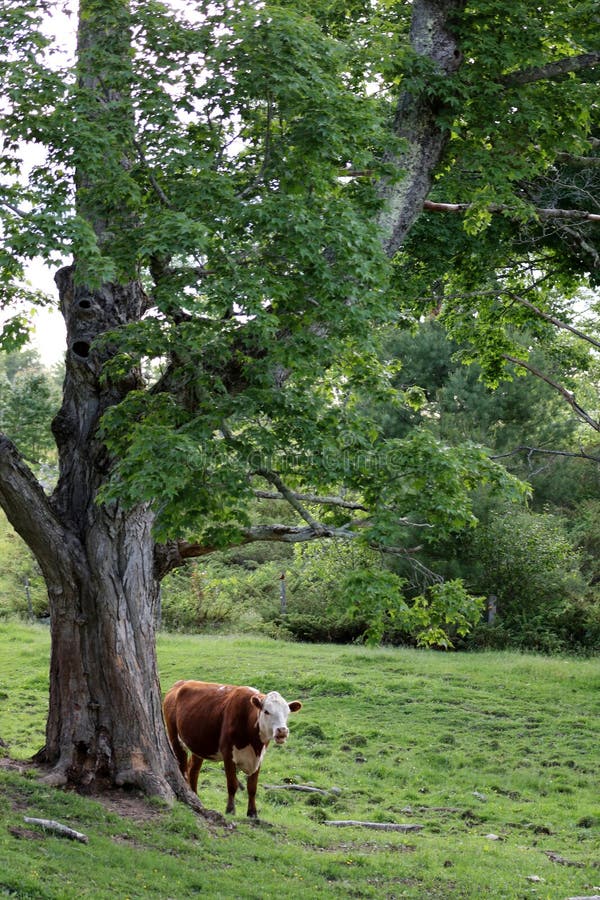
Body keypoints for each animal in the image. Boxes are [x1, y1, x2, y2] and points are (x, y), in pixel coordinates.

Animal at [163, 679, 302, 817]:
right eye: (266, 711)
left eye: (287, 713)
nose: (282, 731)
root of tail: (180, 683)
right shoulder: (228, 754)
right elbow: (232, 784)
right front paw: (230, 810)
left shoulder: (258, 758)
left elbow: (252, 787)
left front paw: (252, 812)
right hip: (175, 738)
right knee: (183, 769)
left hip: (199, 745)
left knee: (193, 771)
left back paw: (196, 796)